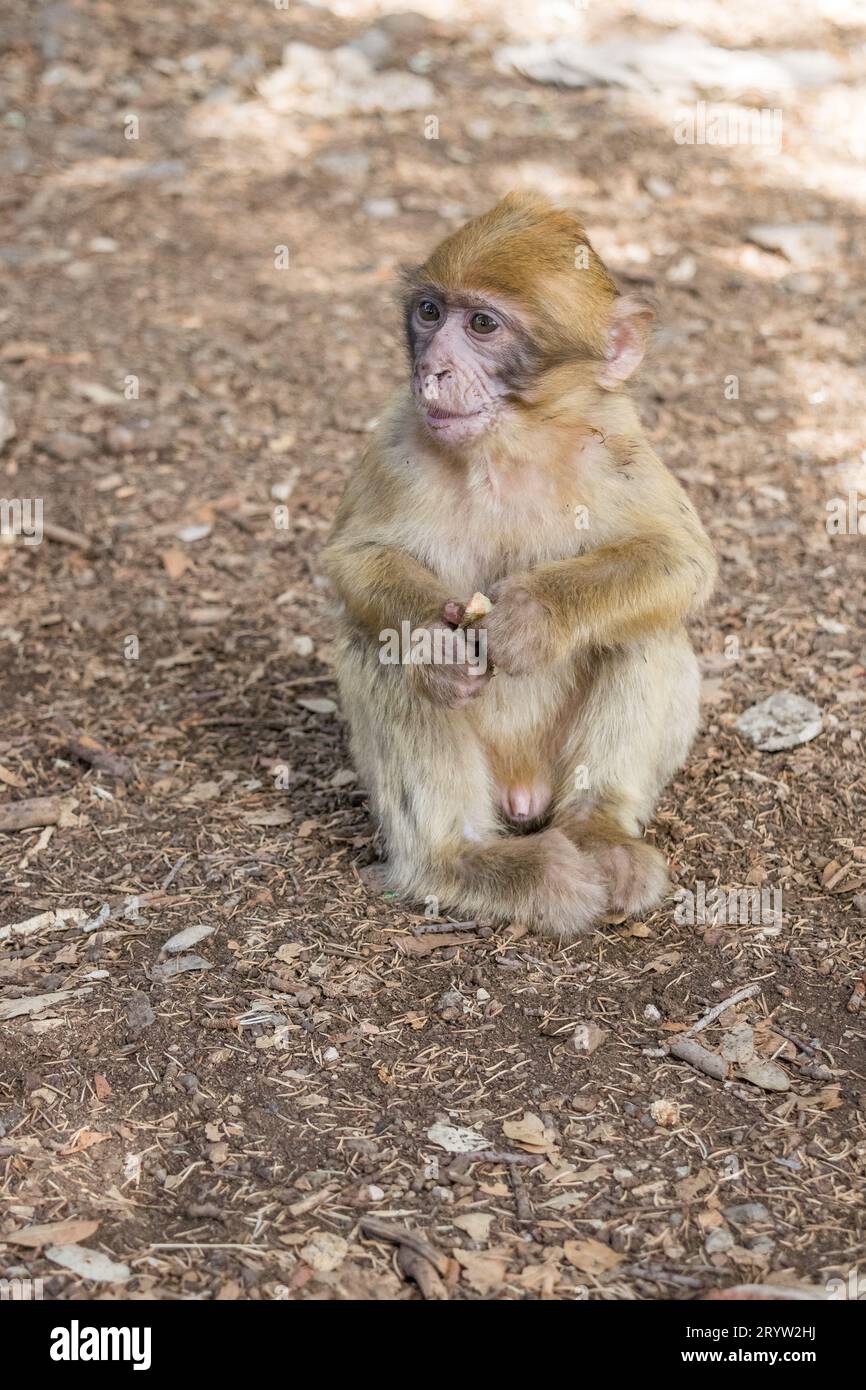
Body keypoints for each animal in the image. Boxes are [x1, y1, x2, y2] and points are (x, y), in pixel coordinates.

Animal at [320, 193, 716, 939]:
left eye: (482, 324)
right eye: (429, 312)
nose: (433, 371)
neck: (510, 444)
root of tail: (524, 792)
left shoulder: (617, 444)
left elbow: (680, 560)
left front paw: (536, 615)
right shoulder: (397, 436)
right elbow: (352, 562)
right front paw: (435, 645)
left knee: (646, 630)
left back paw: (600, 830)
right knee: (373, 645)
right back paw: (465, 862)